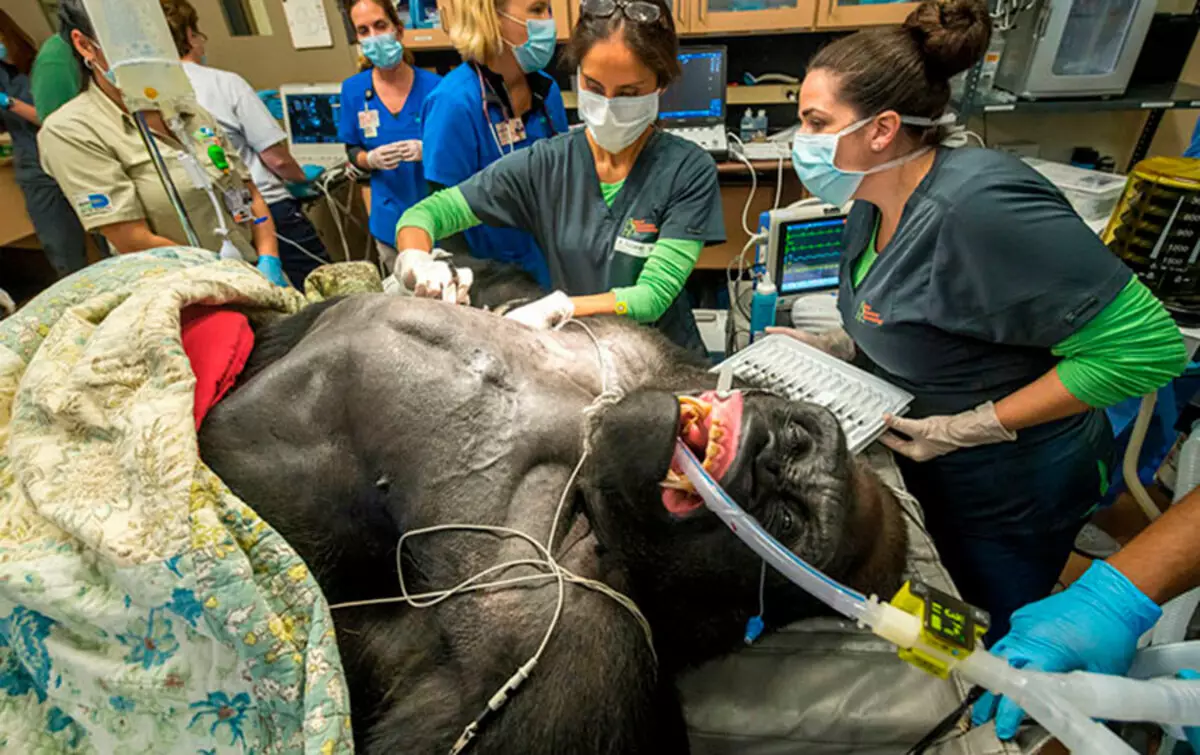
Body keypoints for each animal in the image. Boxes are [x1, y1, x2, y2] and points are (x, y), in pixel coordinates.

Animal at [199, 261, 907, 748]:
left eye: (783, 522)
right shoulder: (643, 351)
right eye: (796, 439)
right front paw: (437, 279)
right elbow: (511, 290)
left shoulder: (574, 657)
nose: (760, 452)